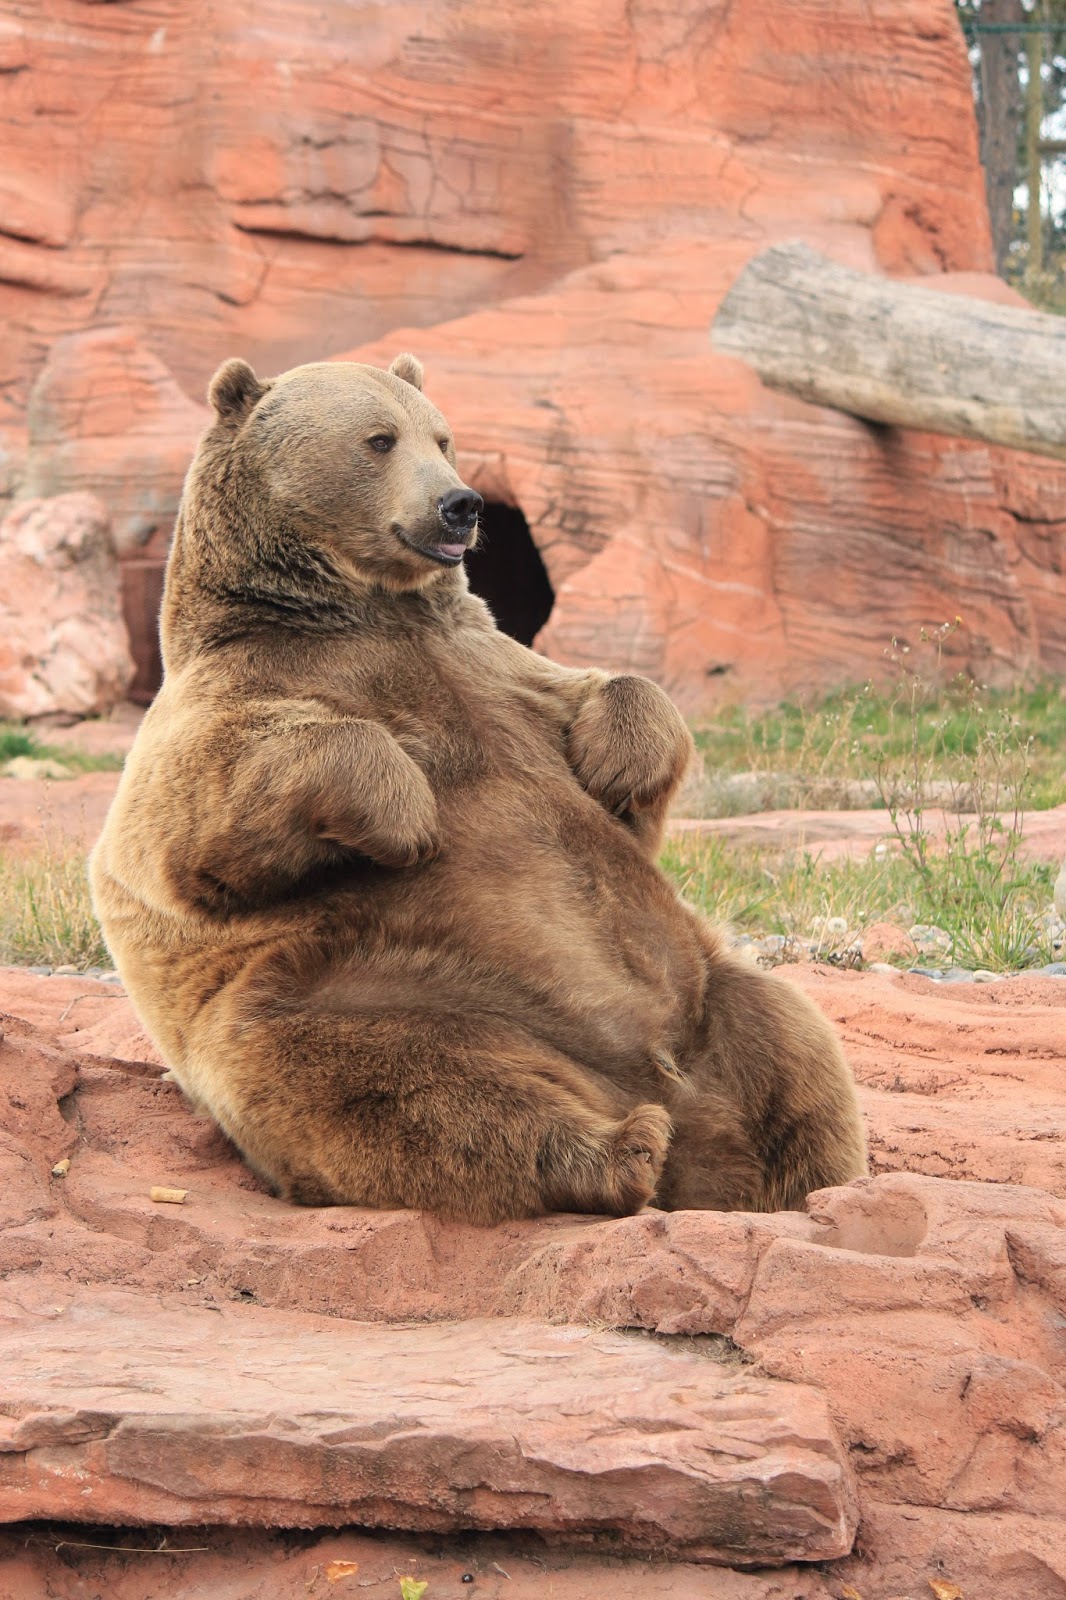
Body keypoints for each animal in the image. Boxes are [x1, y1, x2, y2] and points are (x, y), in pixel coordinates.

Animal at [89, 352, 867, 1224]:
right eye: (378, 439)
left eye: (442, 436)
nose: (460, 504)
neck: (367, 608)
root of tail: (678, 1105)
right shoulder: (238, 693)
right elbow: (188, 820)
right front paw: (406, 816)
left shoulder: (496, 670)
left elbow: (614, 704)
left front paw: (615, 761)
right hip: (371, 990)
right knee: (407, 1088)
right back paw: (620, 1150)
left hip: (704, 991)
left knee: (794, 1046)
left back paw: (806, 1180)